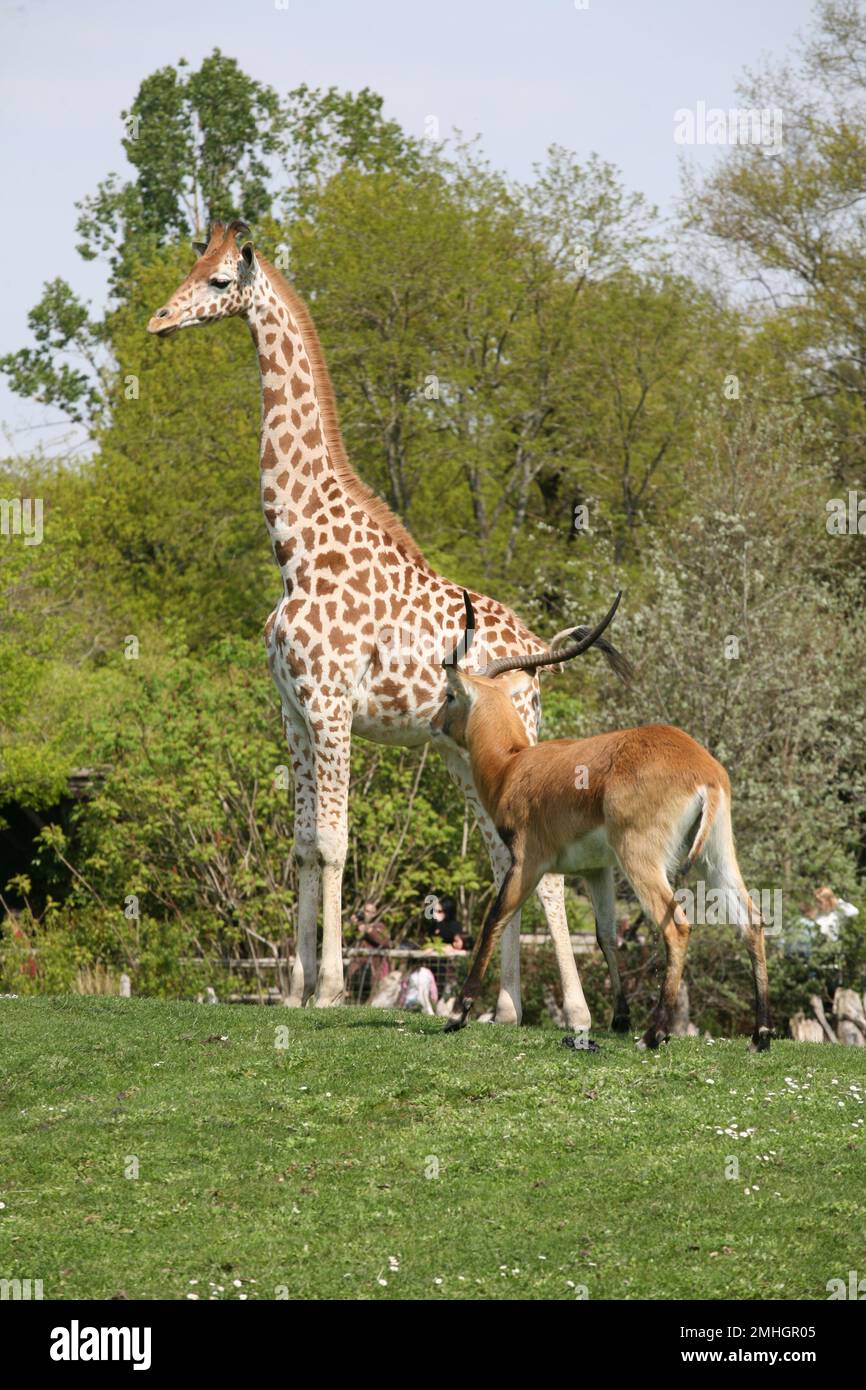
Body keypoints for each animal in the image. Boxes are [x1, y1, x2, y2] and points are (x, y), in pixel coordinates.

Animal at [147, 219, 607, 1031]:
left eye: (220, 282)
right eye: (190, 267)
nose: (158, 321)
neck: (296, 547)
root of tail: (537, 652)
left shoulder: (332, 707)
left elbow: (334, 843)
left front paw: (330, 989)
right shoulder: (293, 714)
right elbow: (302, 846)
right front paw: (294, 989)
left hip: (522, 733)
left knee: (543, 865)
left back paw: (575, 1014)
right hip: (459, 755)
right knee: (503, 856)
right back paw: (506, 1008)